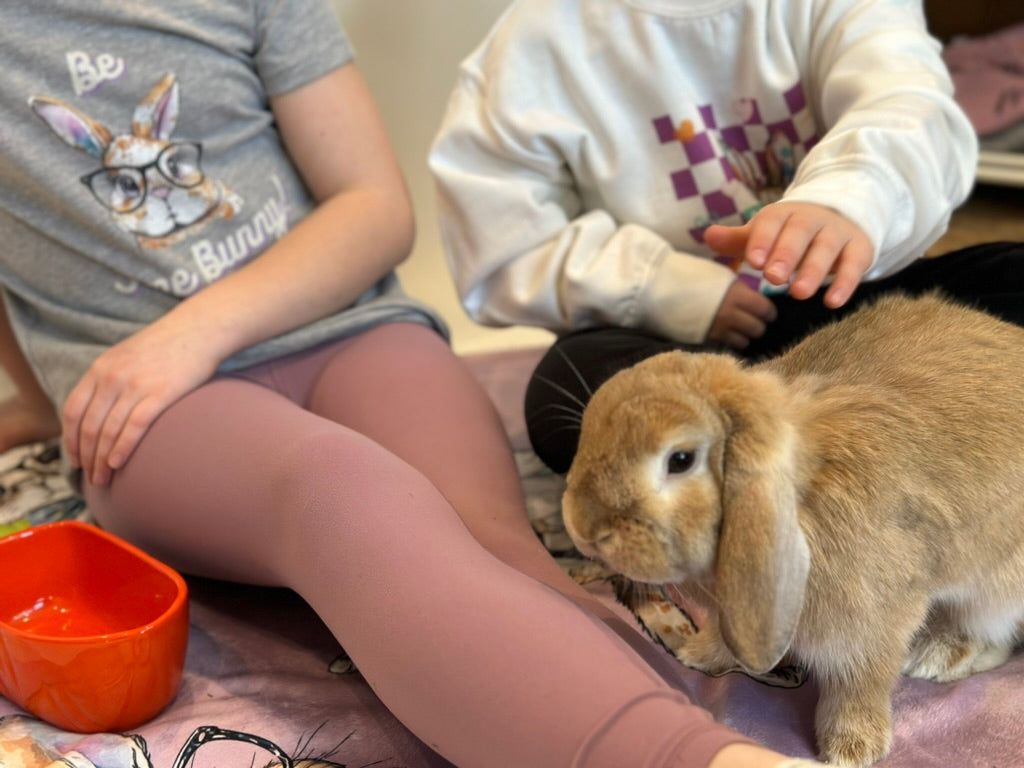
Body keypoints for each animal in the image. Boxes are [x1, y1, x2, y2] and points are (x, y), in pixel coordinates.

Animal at [562, 291, 1024, 767]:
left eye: (680, 460)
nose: (580, 527)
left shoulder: (873, 622)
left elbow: (862, 679)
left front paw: (851, 750)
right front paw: (696, 657)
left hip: (997, 586)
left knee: (995, 633)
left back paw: (938, 657)